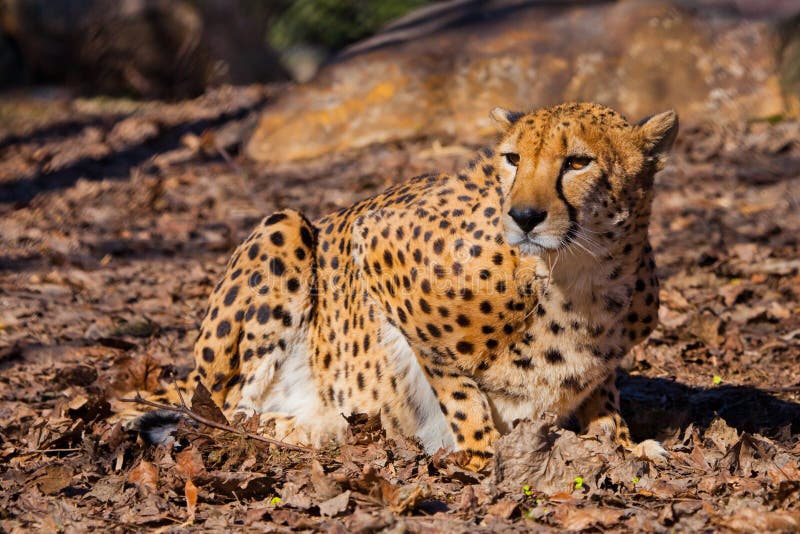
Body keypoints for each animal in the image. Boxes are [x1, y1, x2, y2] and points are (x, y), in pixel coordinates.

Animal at [117, 102, 677, 472]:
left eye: (578, 162)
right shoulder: (375, 239)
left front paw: (624, 444)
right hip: (285, 228)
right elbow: (458, 389)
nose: (522, 216)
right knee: (227, 411)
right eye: (513, 159)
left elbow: (601, 391)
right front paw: (478, 453)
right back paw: (303, 428)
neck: (578, 274)